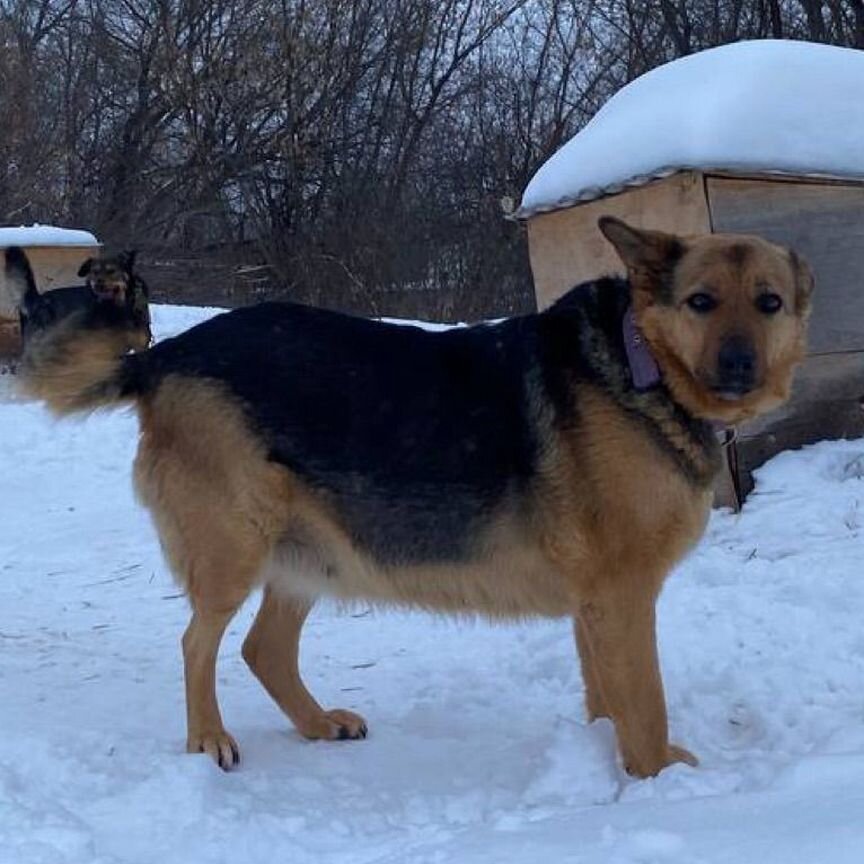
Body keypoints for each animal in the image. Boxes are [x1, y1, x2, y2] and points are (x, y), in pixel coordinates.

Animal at [10, 223, 812, 776]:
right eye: (701, 302)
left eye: (768, 304)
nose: (739, 364)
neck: (640, 361)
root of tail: (164, 355)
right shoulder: (621, 597)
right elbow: (644, 706)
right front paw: (659, 782)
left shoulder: (596, 604)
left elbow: (606, 699)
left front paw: (604, 756)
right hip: (235, 546)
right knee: (197, 643)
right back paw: (208, 738)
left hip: (309, 554)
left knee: (263, 649)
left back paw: (315, 725)